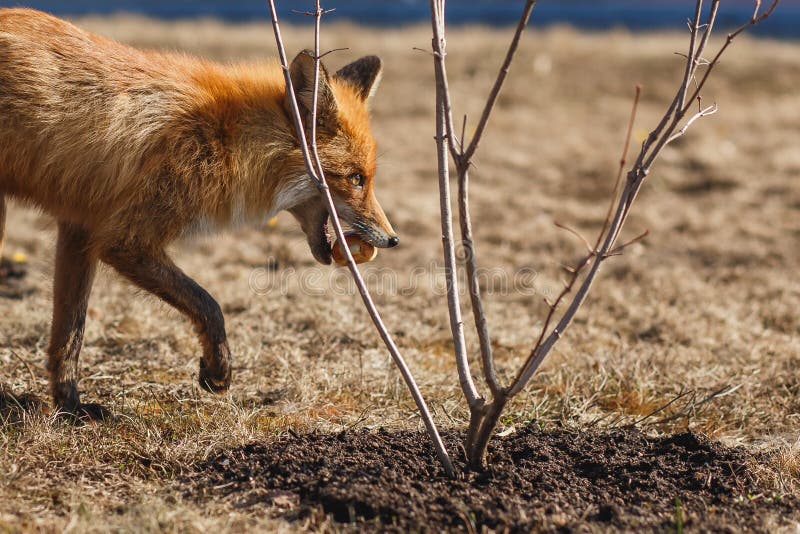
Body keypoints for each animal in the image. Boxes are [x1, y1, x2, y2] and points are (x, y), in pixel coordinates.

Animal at [0, 8, 398, 419]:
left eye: (367, 178)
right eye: (356, 178)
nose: (393, 238)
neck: (224, 137)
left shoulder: (79, 226)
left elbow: (69, 334)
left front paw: (69, 408)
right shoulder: (125, 239)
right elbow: (207, 303)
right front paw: (218, 370)